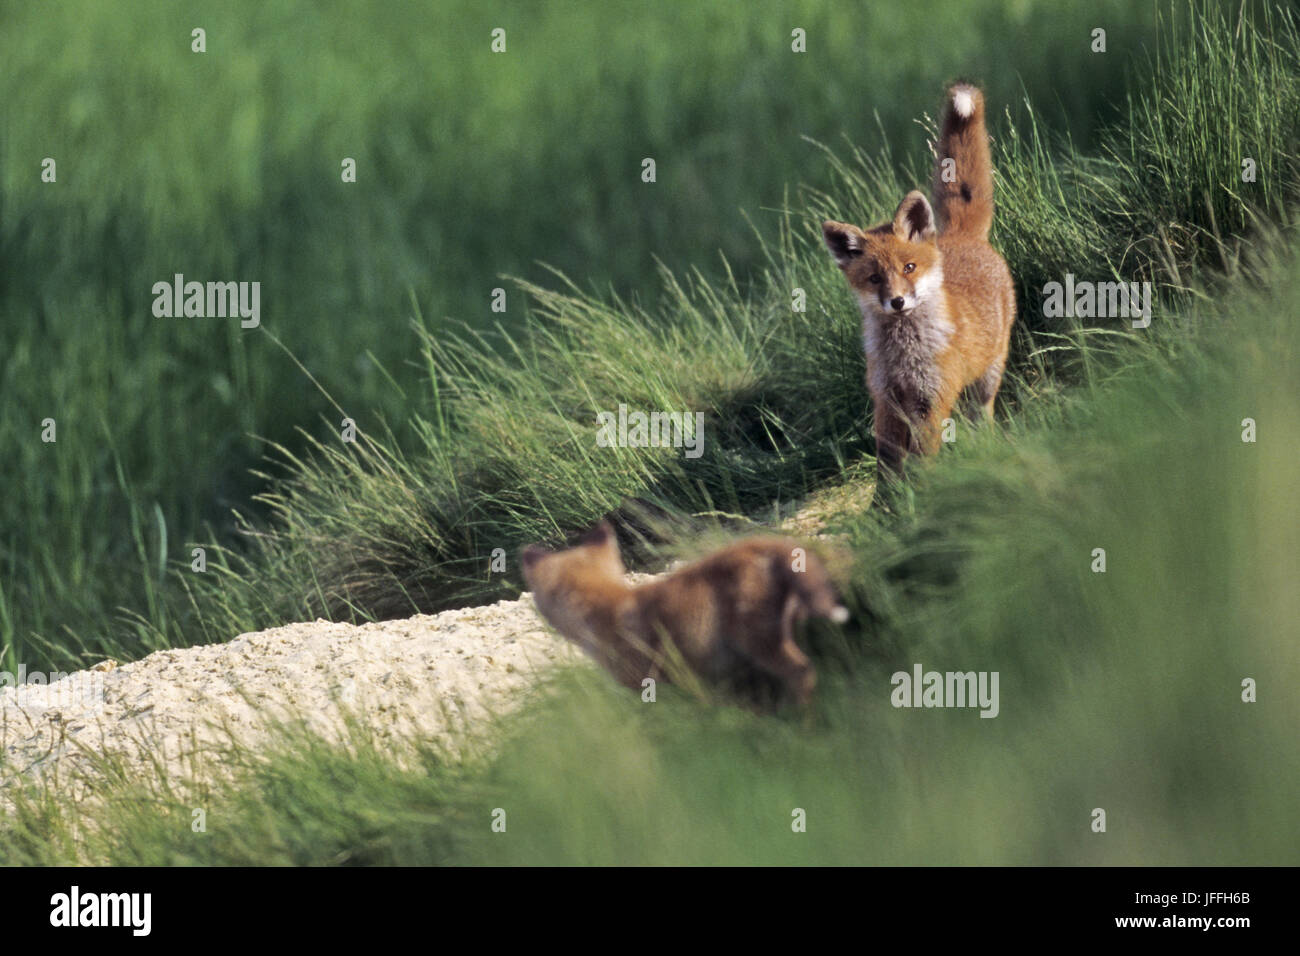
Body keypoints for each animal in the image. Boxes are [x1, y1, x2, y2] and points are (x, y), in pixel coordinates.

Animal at [822, 84, 1016, 476]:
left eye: (909, 268)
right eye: (874, 278)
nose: (897, 301)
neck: (905, 356)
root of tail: (960, 237)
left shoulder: (932, 398)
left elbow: (920, 460)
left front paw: (922, 488)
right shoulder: (885, 399)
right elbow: (887, 465)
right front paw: (889, 495)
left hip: (987, 377)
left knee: (982, 416)